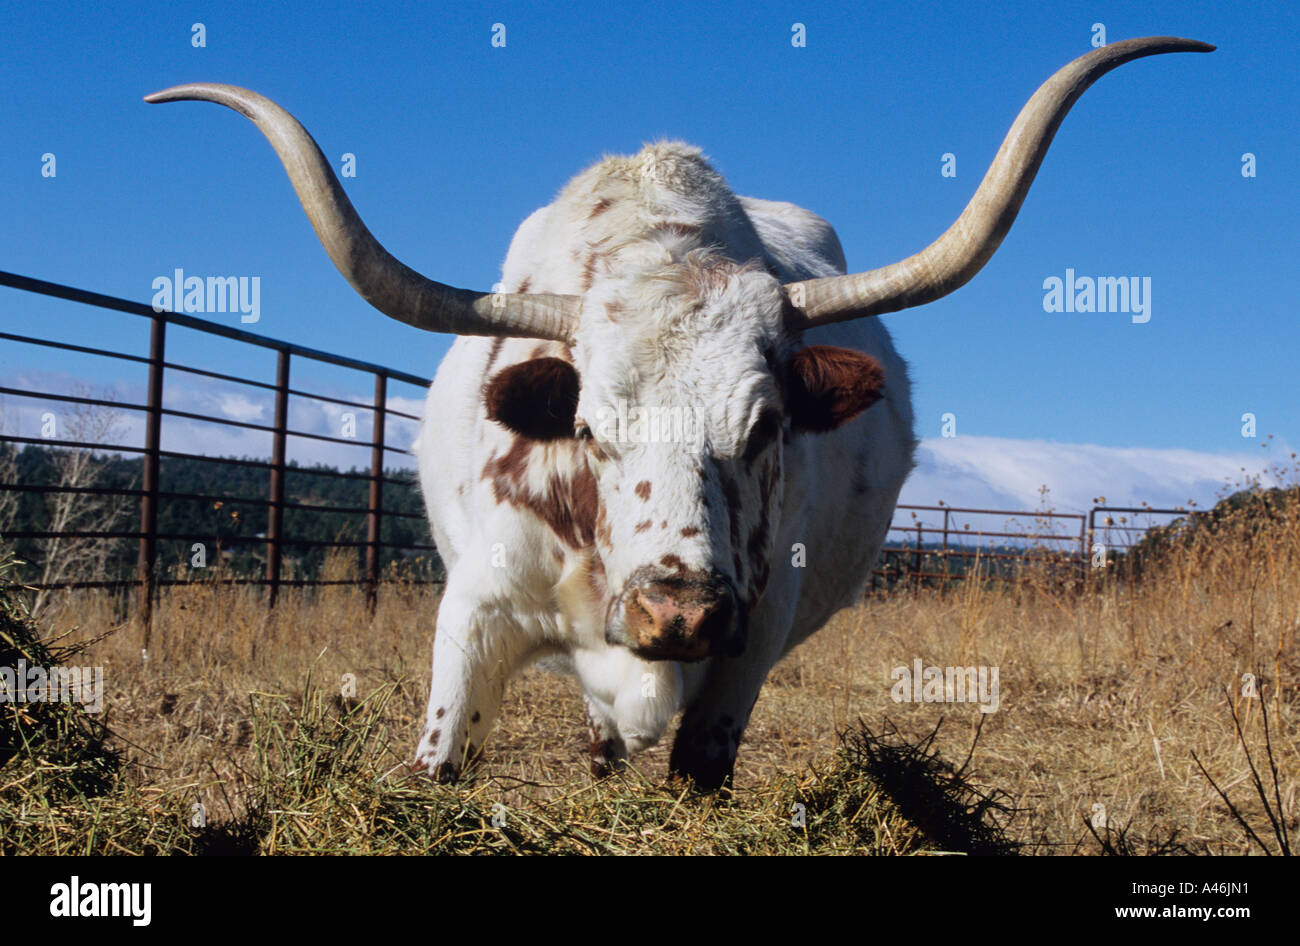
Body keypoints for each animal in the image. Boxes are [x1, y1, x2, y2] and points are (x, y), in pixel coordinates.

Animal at [147, 37, 1211, 789]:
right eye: (589, 429)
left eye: (766, 427)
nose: (680, 610)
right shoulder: (474, 616)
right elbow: (439, 761)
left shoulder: (753, 643)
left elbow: (701, 766)